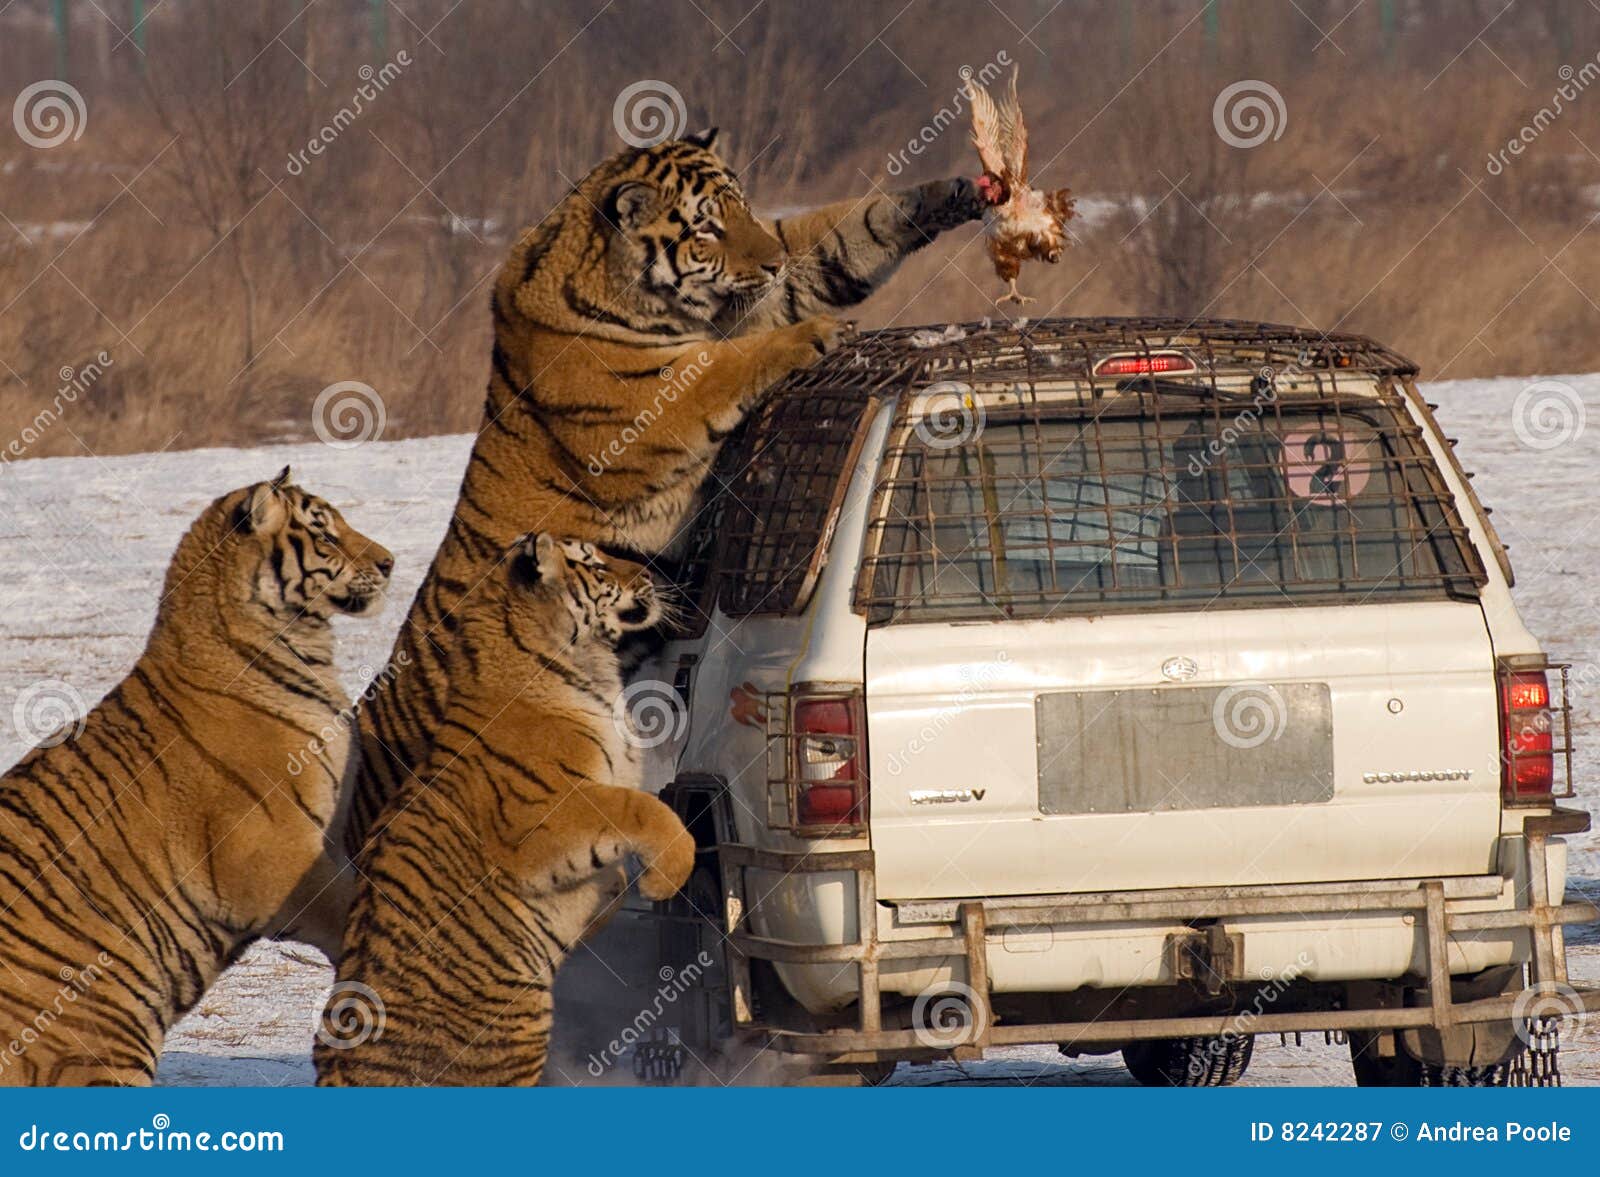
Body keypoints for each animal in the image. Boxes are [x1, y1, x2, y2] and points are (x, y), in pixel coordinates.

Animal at [316, 533, 694, 1087]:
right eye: (596, 564)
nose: (650, 574)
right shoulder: (553, 813)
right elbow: (647, 811)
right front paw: (665, 881)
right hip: (519, 1030)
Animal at [341, 128, 989, 860]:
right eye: (706, 227)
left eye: (744, 208)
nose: (770, 265)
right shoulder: (654, 400)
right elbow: (729, 364)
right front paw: (814, 334)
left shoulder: (763, 294)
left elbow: (842, 237)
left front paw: (951, 191)